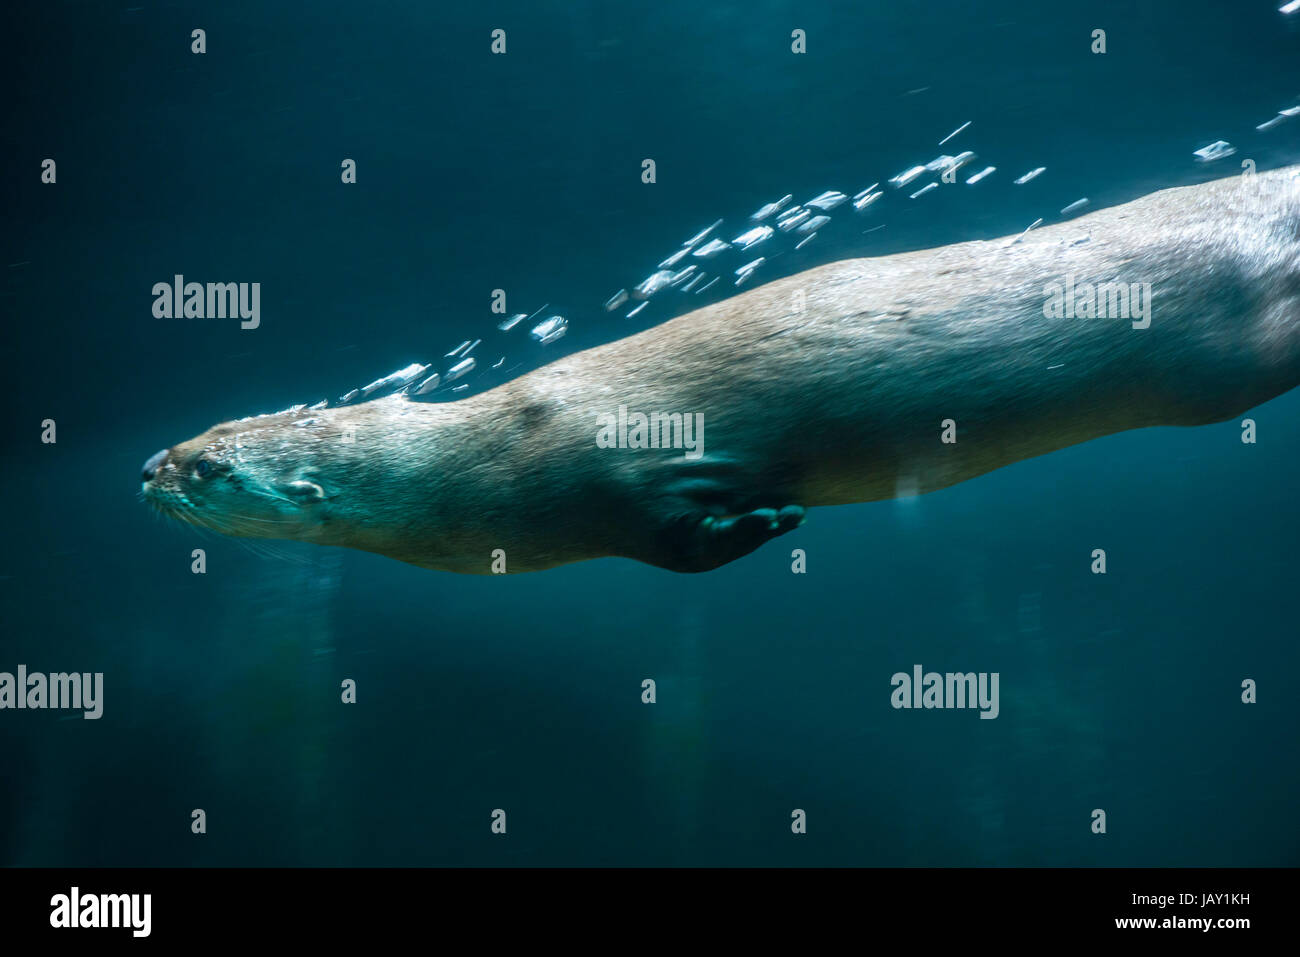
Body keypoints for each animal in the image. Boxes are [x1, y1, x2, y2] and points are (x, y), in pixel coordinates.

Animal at [142, 166, 1300, 573]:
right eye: (200, 438)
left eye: (212, 469)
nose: (151, 467)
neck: (479, 466)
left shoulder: (611, 488)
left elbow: (686, 538)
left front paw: (770, 520)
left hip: (1217, 355)